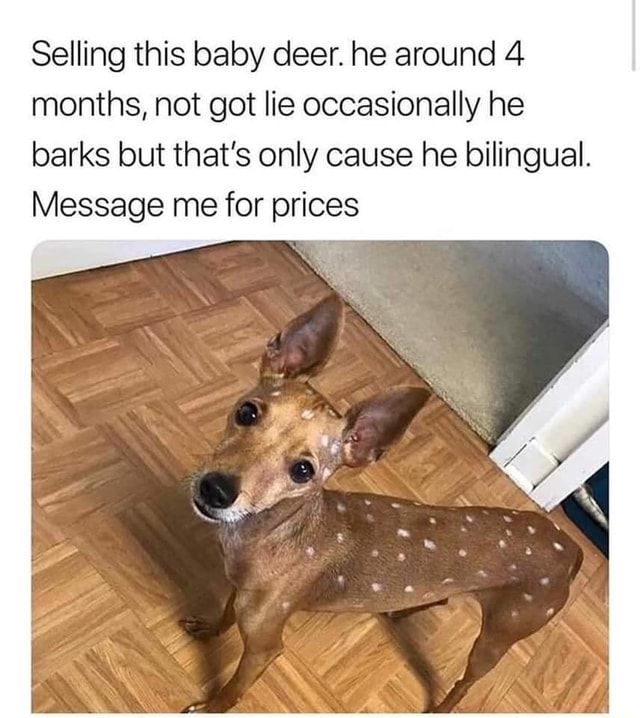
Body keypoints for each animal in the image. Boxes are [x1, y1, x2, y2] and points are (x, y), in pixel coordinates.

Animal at [181, 293, 583, 713]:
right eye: (247, 412)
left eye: (304, 470)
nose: (216, 490)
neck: (270, 535)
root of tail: (571, 550)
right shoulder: (240, 594)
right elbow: (226, 614)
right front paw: (209, 629)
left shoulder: (265, 647)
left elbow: (232, 692)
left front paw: (209, 707)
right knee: (440, 598)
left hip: (498, 637)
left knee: (465, 684)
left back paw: (441, 707)